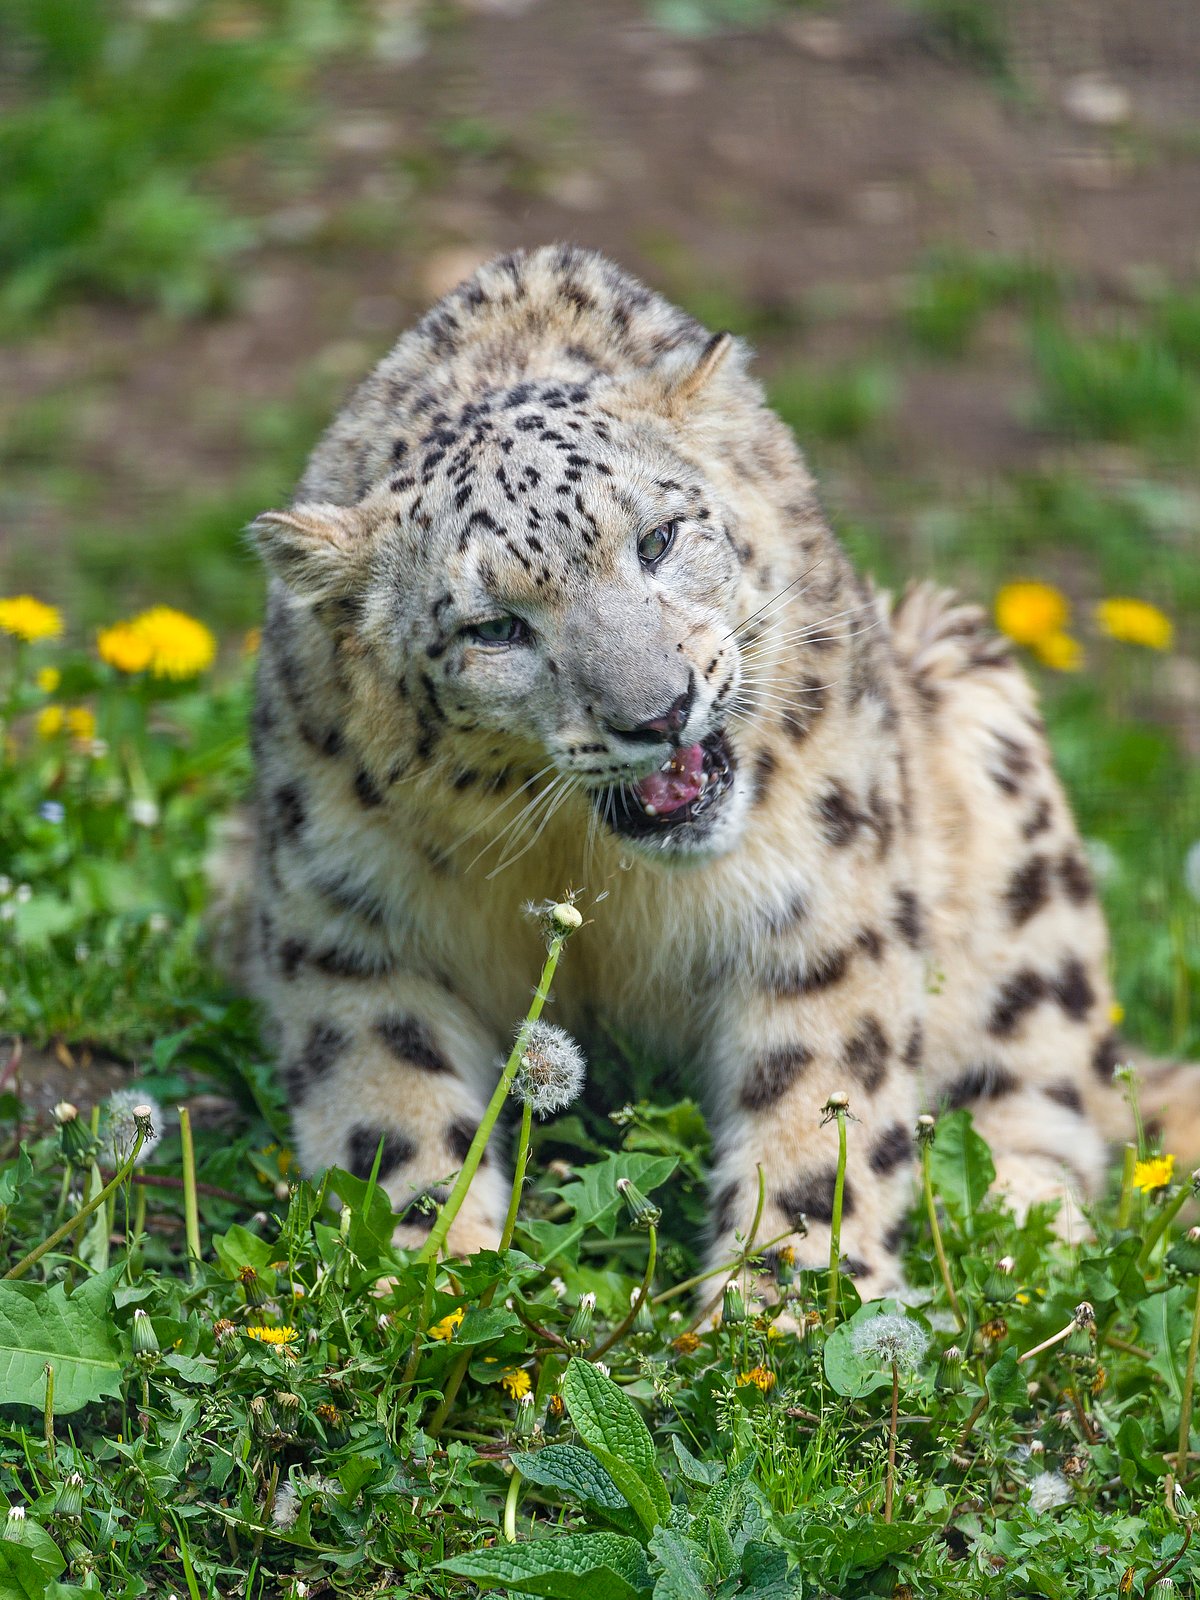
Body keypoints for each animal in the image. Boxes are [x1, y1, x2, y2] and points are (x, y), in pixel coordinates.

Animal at [236, 243, 1197, 1293]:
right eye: (493, 629)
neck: (579, 866)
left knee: (1056, 1077)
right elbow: (392, 1110)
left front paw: (784, 1299)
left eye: (658, 538)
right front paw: (430, 1275)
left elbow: (817, 1109)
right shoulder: (353, 926)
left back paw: (1019, 1223)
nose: (657, 711)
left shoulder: (818, 909)